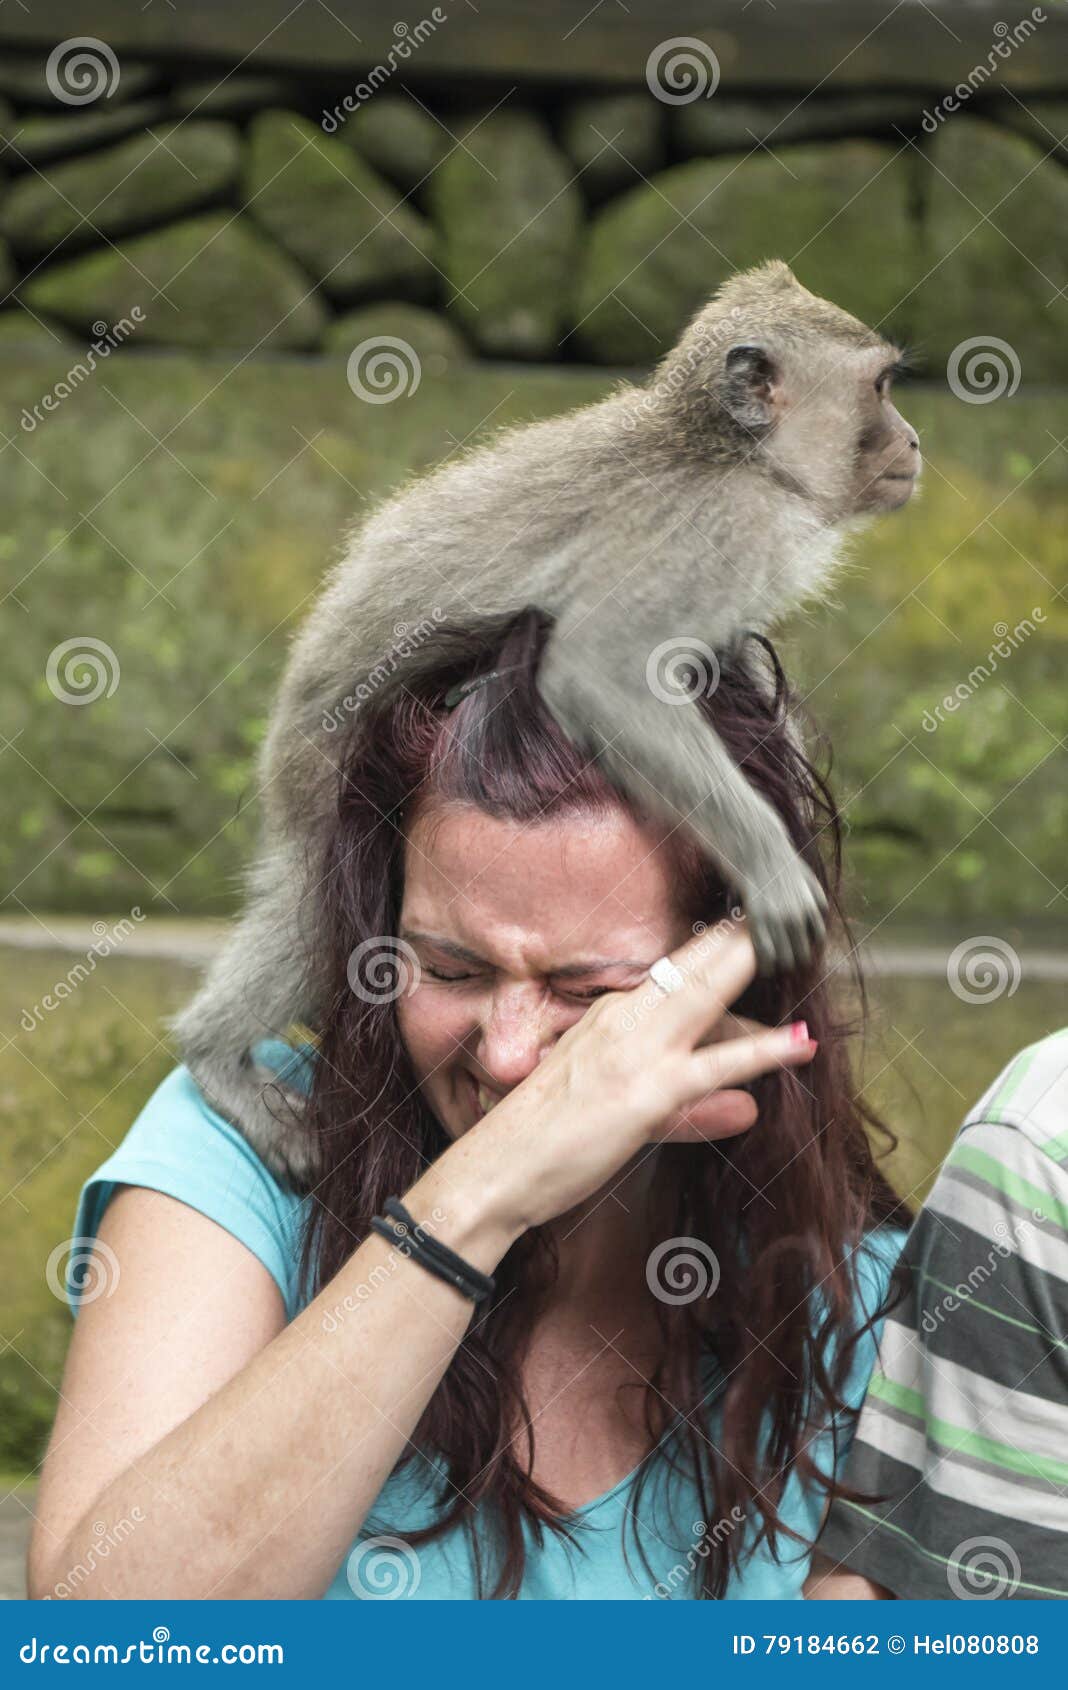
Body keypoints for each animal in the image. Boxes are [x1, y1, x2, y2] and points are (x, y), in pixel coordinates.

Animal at [168, 259, 920, 1191]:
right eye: (881, 387)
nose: (914, 441)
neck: (723, 453)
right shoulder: (718, 528)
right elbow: (597, 670)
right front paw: (768, 861)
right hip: (317, 771)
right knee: (318, 915)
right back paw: (212, 1053)